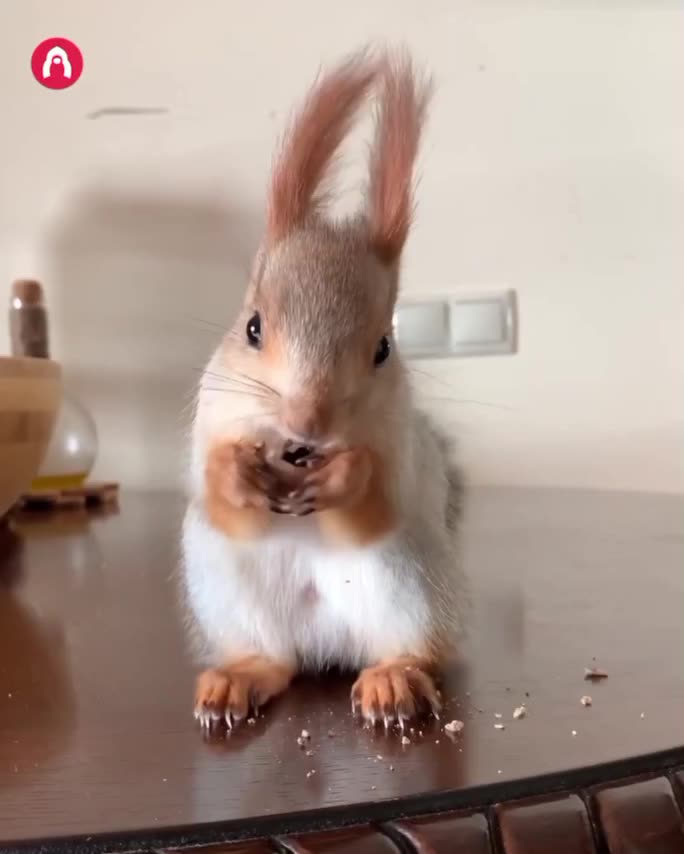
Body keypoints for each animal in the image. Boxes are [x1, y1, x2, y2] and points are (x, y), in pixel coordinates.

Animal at [181, 46, 463, 732]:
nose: (308, 423)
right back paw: (238, 679)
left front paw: (343, 479)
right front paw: (236, 472)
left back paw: (393, 681)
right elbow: (221, 495)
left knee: (408, 647)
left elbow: (374, 503)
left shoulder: (399, 448)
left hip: (413, 583)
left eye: (384, 347)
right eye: (252, 326)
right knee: (272, 660)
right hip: (225, 589)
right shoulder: (212, 415)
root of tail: (323, 648)